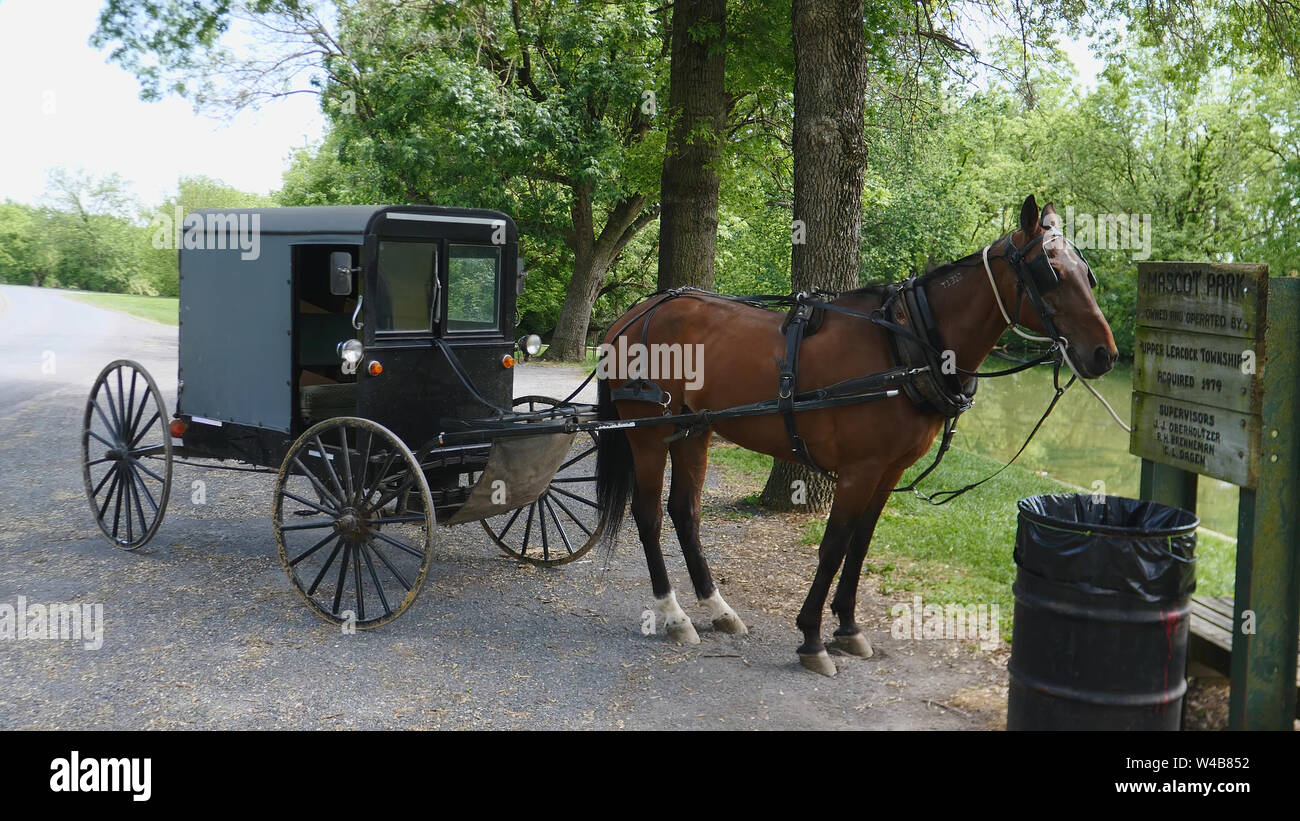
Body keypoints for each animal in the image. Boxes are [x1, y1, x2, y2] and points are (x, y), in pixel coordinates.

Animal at [592, 195, 1117, 676]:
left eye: (1086, 273)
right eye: (1051, 272)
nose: (1105, 354)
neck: (904, 343)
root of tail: (632, 315)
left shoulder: (888, 471)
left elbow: (860, 544)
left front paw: (847, 627)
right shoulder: (858, 470)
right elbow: (833, 546)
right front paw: (811, 638)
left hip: (692, 430)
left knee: (685, 511)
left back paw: (717, 608)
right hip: (648, 436)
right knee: (648, 515)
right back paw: (672, 613)